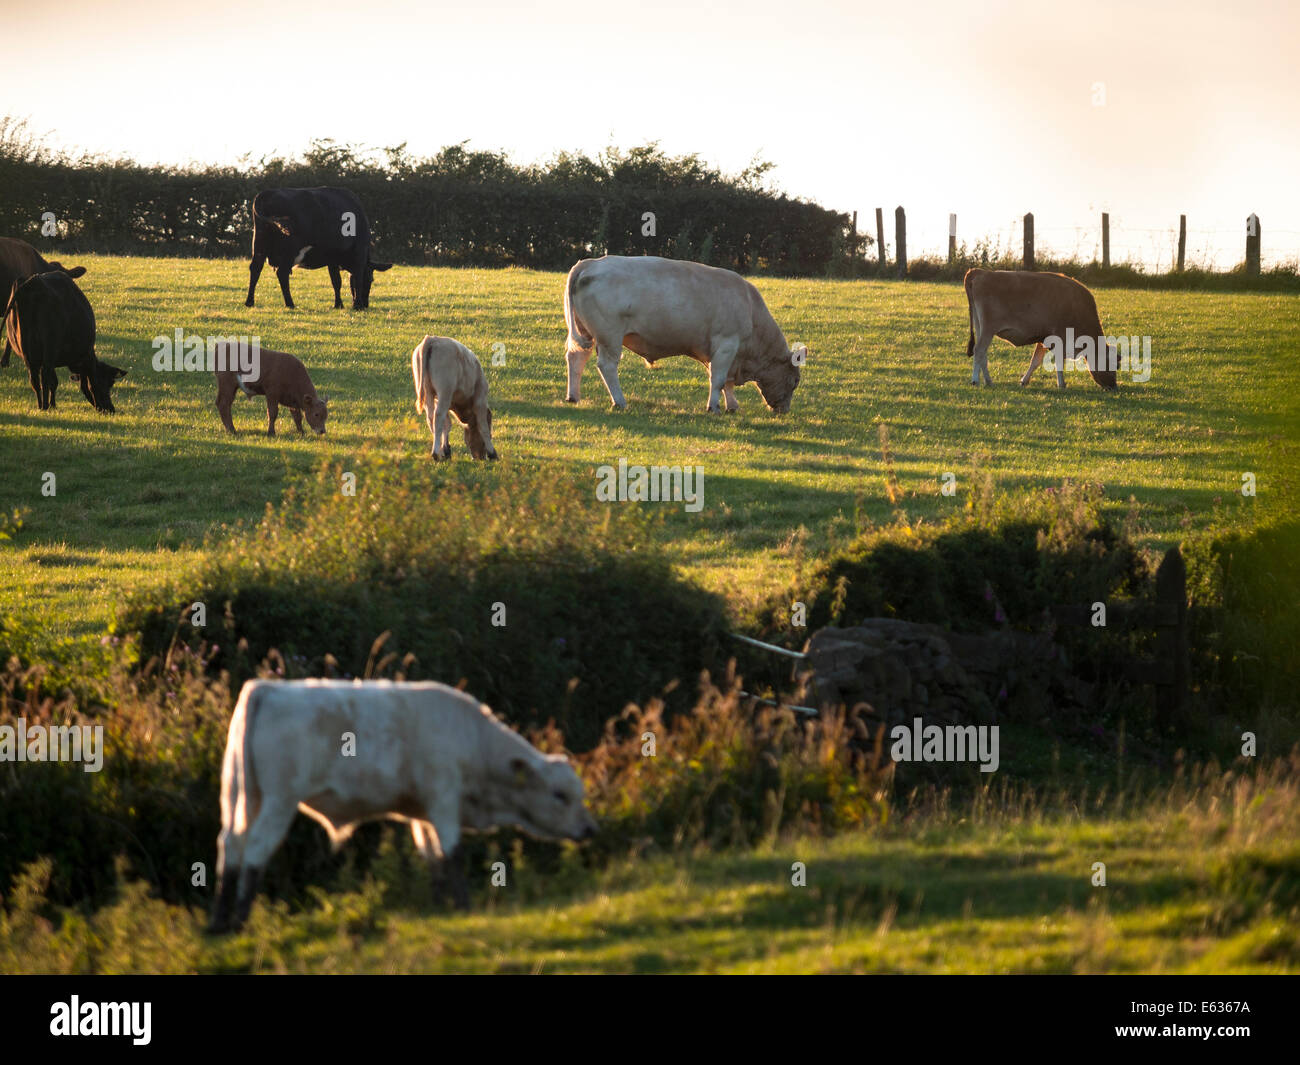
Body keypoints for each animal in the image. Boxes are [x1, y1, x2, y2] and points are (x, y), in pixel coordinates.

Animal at [3, 272, 126, 412]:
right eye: (109, 383)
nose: (111, 409)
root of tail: (32, 282)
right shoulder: (85, 357)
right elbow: (89, 384)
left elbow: (54, 382)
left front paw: (53, 405)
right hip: (49, 348)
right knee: (44, 378)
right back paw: (44, 406)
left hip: (28, 353)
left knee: (35, 380)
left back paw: (40, 406)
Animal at [208, 679, 598, 932]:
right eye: (560, 795)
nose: (590, 828)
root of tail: (268, 687)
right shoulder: (444, 800)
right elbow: (453, 853)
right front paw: (465, 907)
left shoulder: (422, 813)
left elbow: (432, 856)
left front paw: (441, 907)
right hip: (279, 801)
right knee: (256, 850)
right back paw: (240, 921)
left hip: (238, 795)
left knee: (231, 846)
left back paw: (219, 923)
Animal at [245, 187, 392, 310]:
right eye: (371, 279)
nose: (366, 305)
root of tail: (267, 193)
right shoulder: (359, 252)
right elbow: (357, 278)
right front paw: (357, 305)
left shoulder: (332, 258)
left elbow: (336, 281)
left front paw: (339, 305)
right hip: (290, 250)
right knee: (282, 273)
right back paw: (290, 304)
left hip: (259, 244)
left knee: (256, 268)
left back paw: (250, 302)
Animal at [563, 255, 807, 413]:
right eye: (795, 380)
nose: (784, 410)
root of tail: (591, 263)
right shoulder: (727, 344)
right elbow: (718, 379)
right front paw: (714, 407)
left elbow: (725, 381)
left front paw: (732, 406)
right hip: (610, 337)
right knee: (607, 366)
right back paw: (619, 401)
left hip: (585, 333)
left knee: (576, 358)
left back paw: (573, 397)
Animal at [963, 269, 1119, 390]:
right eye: (1114, 364)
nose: (1114, 386)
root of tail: (980, 272)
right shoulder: (1060, 339)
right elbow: (1059, 362)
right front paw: (1062, 384)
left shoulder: (1044, 338)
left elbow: (1035, 361)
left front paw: (1024, 381)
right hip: (988, 330)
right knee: (979, 350)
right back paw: (976, 380)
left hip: (980, 327)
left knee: (982, 354)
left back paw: (987, 381)